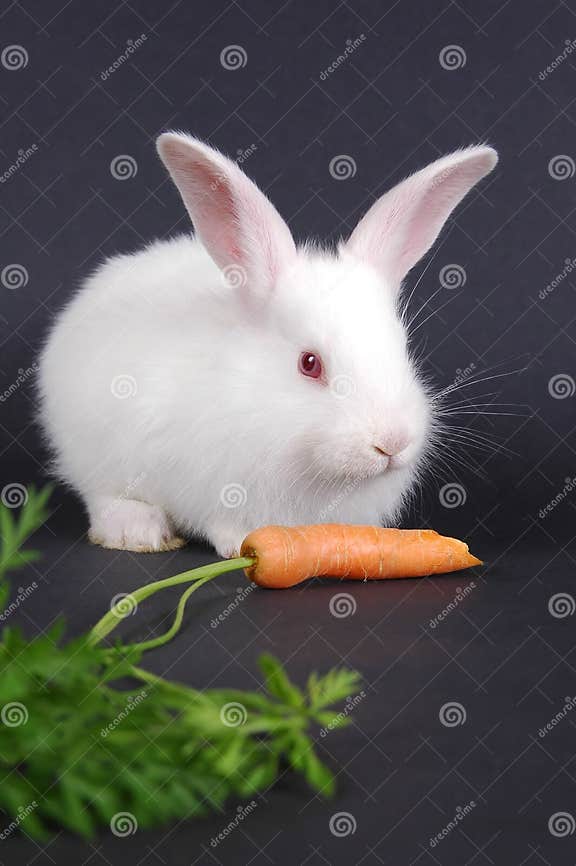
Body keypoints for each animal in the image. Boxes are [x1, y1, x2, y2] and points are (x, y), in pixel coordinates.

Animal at [38, 133, 497, 558]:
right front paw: (240, 545)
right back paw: (136, 531)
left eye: (403, 351)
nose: (393, 442)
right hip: (92, 450)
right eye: (309, 363)